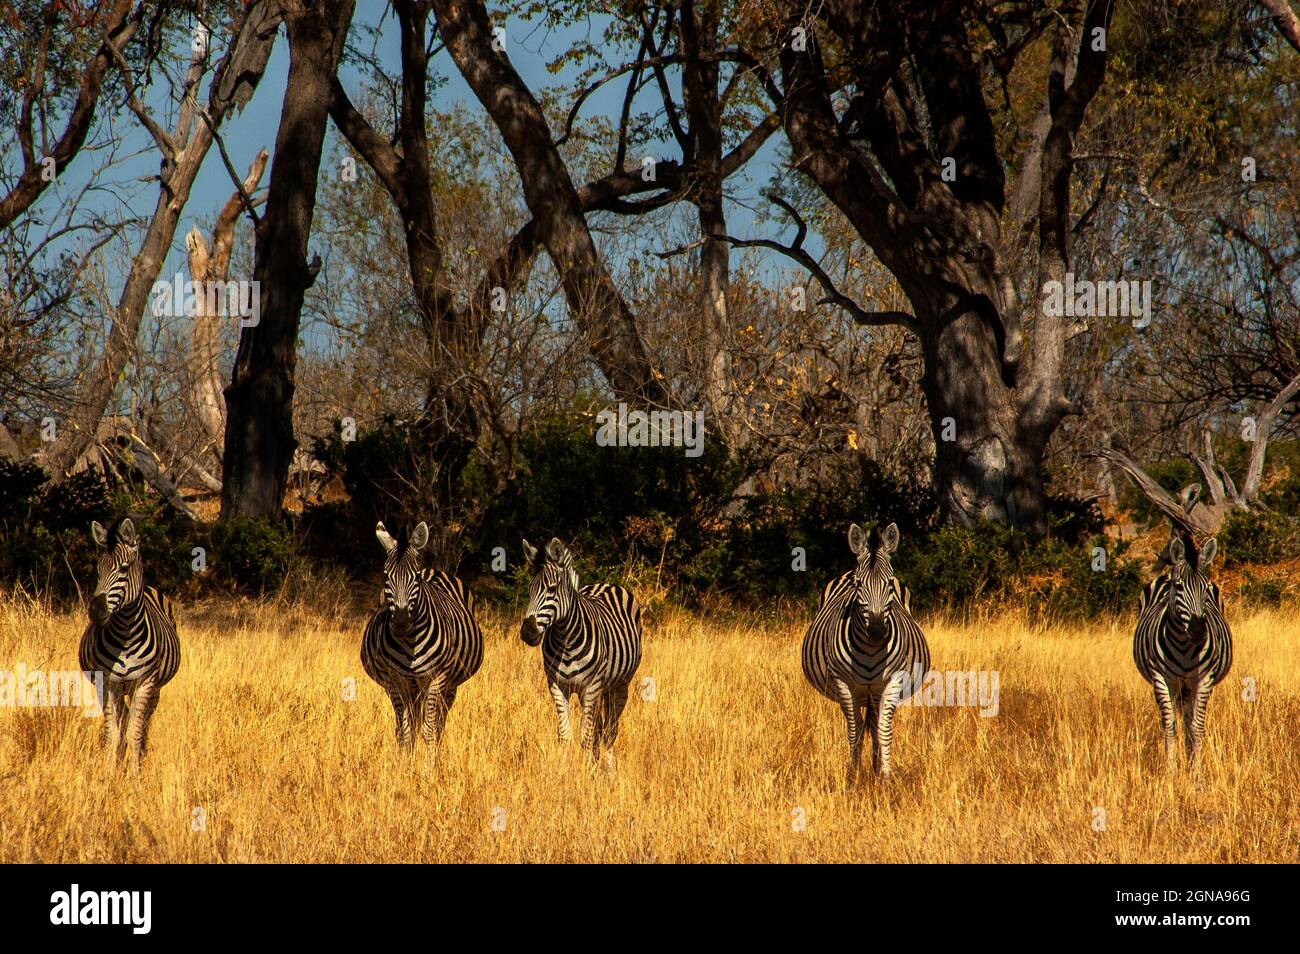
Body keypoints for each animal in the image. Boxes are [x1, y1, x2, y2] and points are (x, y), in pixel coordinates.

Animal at [79, 518, 181, 772]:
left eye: (123, 569)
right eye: (99, 569)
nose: (96, 611)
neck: (125, 630)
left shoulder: (145, 682)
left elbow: (135, 732)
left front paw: (135, 775)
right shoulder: (107, 682)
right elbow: (112, 733)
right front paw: (108, 773)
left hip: (155, 689)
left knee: (143, 723)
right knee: (123, 719)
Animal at [360, 521, 484, 748]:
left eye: (415, 576)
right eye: (386, 575)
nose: (401, 622)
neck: (410, 642)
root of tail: (431, 569)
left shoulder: (437, 678)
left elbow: (429, 730)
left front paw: (431, 759)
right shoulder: (396, 680)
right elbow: (405, 731)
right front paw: (405, 759)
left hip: (449, 685)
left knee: (439, 722)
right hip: (407, 686)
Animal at [519, 537, 642, 768]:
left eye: (551, 589)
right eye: (530, 589)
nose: (527, 632)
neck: (566, 638)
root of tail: (607, 584)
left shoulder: (591, 687)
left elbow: (586, 736)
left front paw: (587, 771)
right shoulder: (557, 686)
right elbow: (565, 735)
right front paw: (564, 769)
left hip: (620, 685)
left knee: (610, 730)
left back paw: (608, 769)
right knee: (600, 728)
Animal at [802, 522, 931, 784]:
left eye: (889, 584)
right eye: (859, 585)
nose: (877, 631)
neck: (871, 650)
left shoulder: (893, 681)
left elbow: (883, 729)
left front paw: (885, 776)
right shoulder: (843, 682)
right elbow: (854, 730)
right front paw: (851, 777)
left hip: (875, 690)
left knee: (873, 723)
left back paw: (874, 767)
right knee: (863, 725)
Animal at [1133, 531, 1232, 775]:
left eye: (1206, 588)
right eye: (1178, 587)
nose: (1197, 630)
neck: (1185, 647)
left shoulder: (1204, 679)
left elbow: (1196, 727)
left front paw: (1196, 773)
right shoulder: (1161, 679)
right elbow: (1169, 725)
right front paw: (1171, 773)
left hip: (1189, 684)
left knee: (1188, 720)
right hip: (1173, 684)